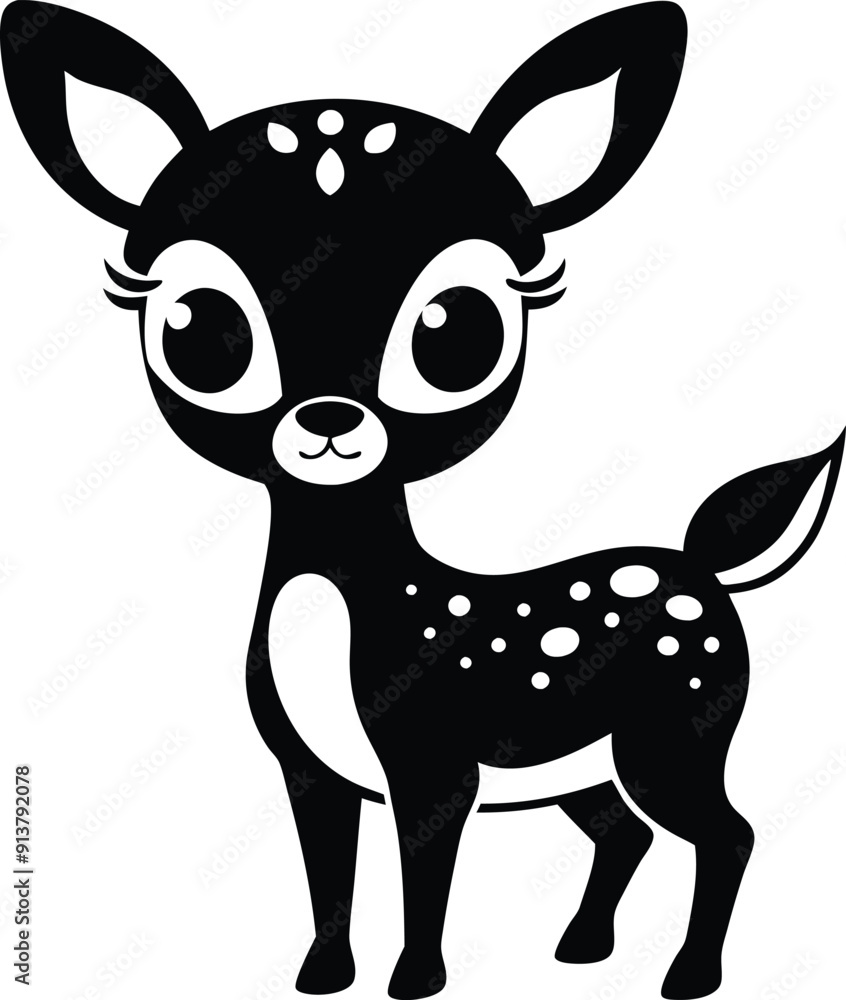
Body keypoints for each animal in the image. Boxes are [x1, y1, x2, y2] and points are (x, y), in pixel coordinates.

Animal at [2, 2, 843, 998]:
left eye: (456, 332)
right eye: (198, 329)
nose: (329, 419)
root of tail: (704, 569)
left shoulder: (434, 766)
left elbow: (421, 874)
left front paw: (414, 980)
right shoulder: (310, 769)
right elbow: (328, 876)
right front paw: (322, 975)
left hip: (673, 731)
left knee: (730, 831)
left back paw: (687, 974)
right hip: (582, 763)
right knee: (627, 832)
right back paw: (581, 948)